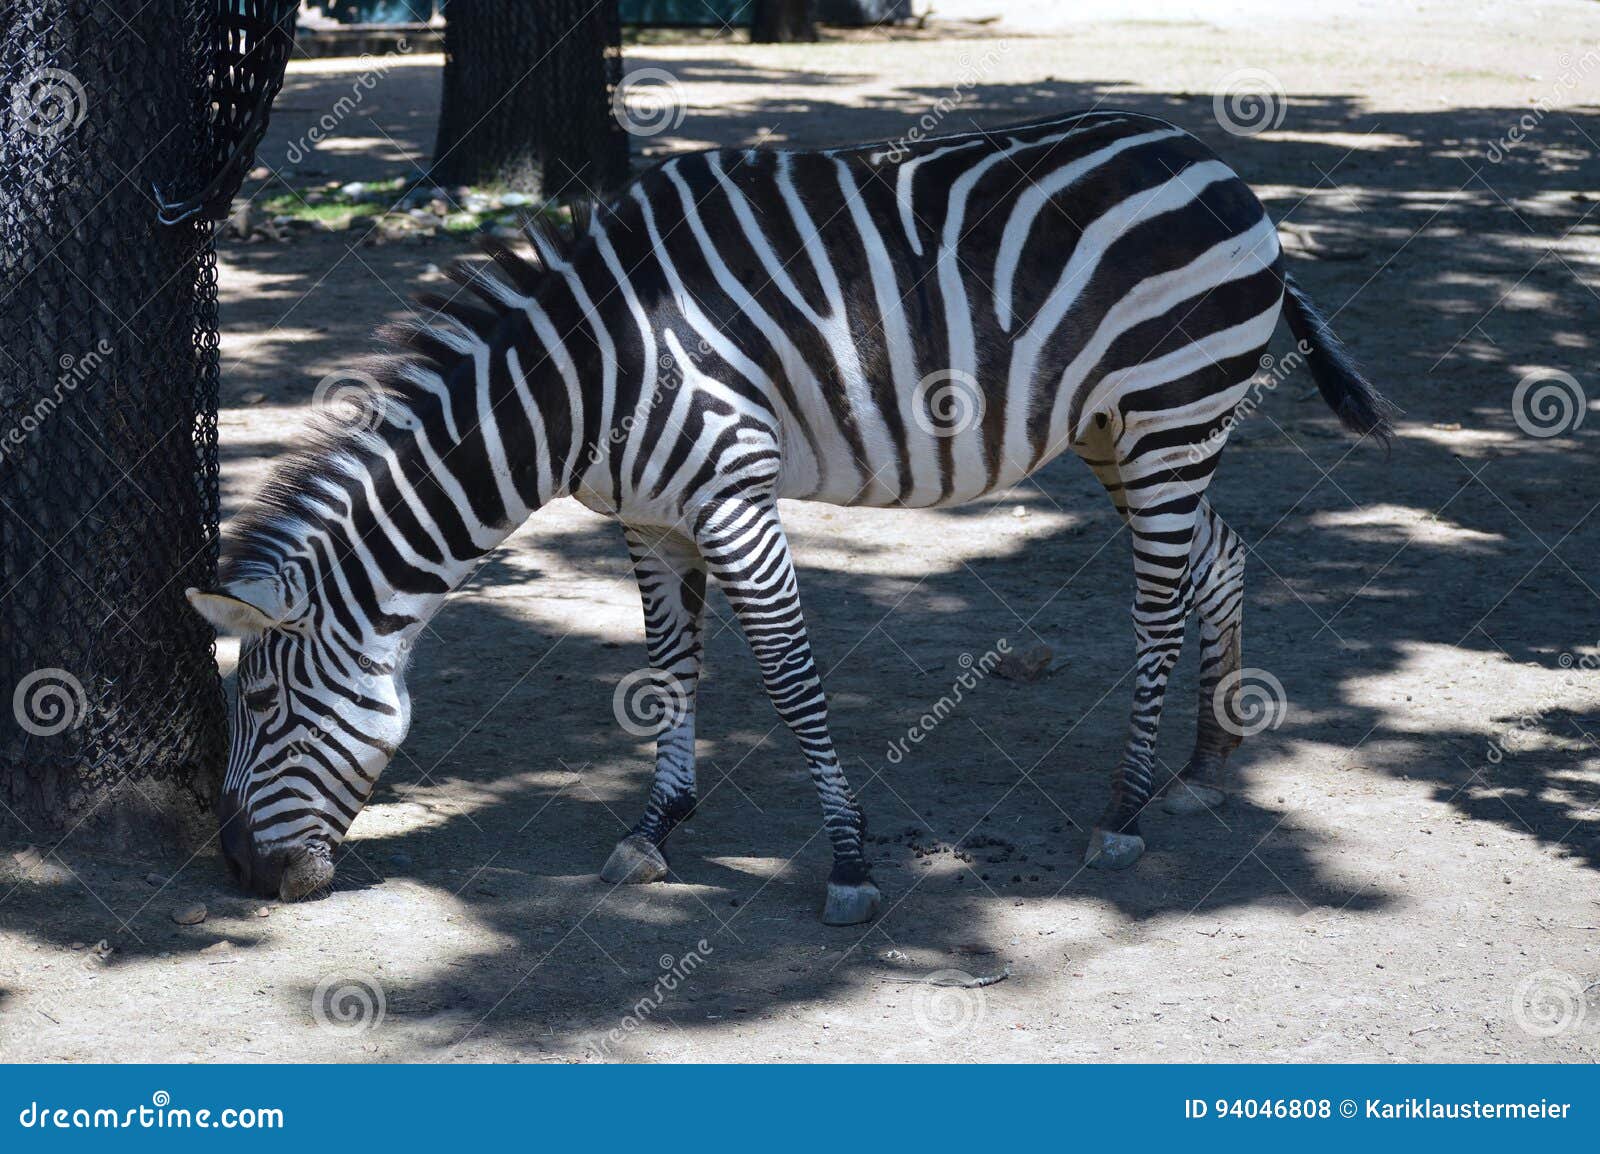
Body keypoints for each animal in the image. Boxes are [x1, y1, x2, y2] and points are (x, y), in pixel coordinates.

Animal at [187, 109, 1391, 924]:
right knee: (1214, 556)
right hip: (1128, 430)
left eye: (261, 703)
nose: (240, 871)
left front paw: (849, 864)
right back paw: (1203, 765)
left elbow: (790, 674)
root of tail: (1212, 159)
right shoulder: (649, 518)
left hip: (1168, 413)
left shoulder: (732, 494)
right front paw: (654, 829)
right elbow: (668, 667)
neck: (584, 379)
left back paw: (1128, 805)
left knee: (1156, 601)